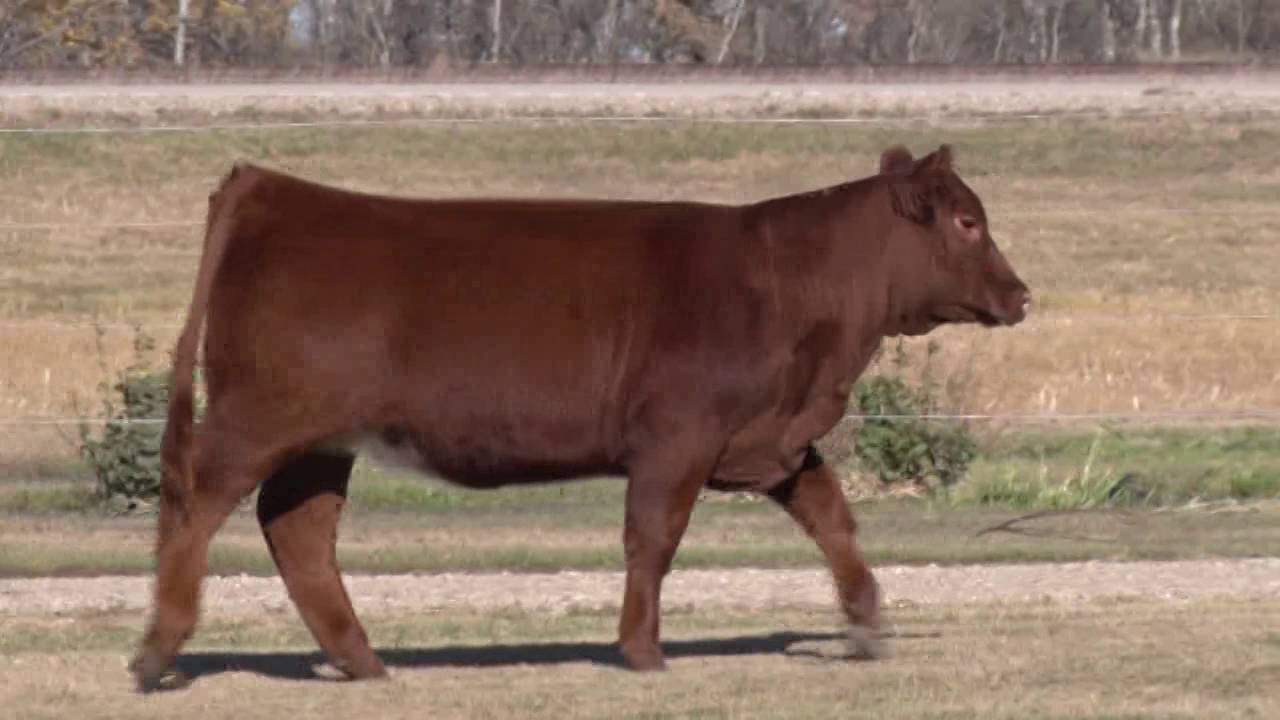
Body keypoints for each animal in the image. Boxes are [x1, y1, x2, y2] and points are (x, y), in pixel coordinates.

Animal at [130, 143, 1030, 691]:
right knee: (196, 506)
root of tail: (272, 186)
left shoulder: (774, 440)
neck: (786, 287)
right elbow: (653, 540)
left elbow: (832, 519)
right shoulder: (677, 440)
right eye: (967, 221)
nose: (1021, 294)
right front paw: (642, 650)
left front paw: (868, 624)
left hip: (321, 441)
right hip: (257, 421)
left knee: (299, 532)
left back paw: (363, 661)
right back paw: (157, 651)